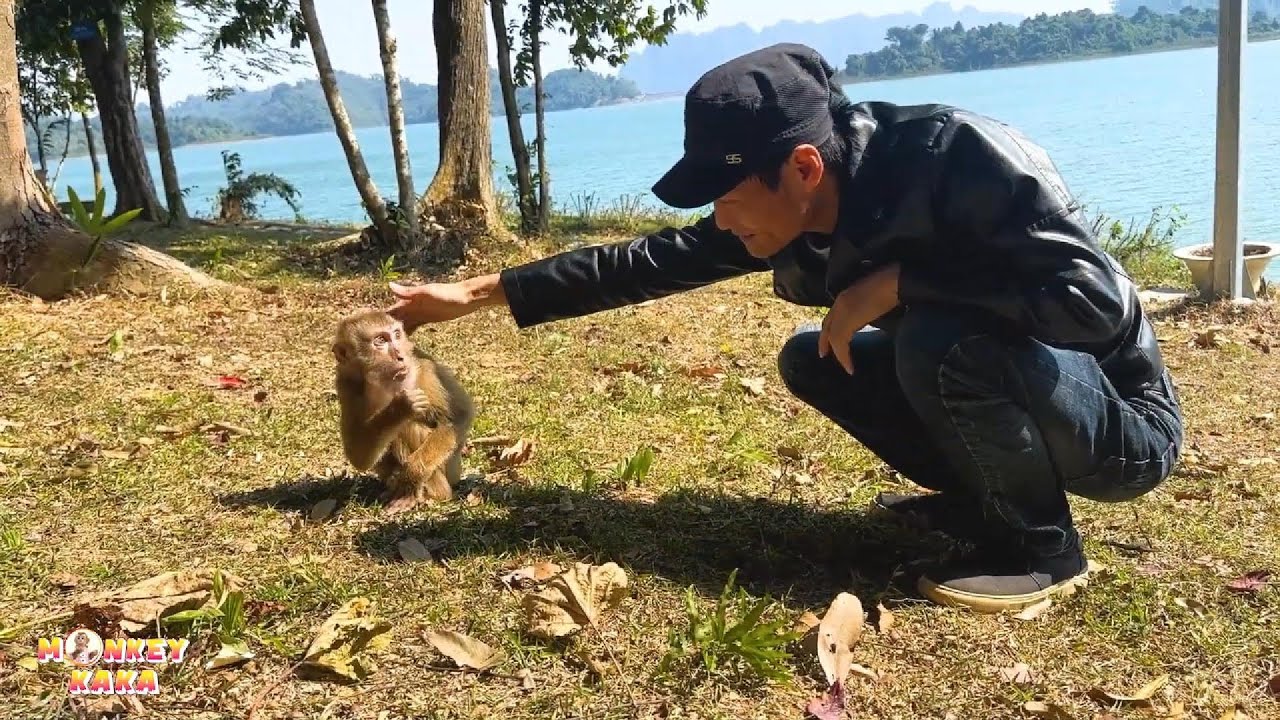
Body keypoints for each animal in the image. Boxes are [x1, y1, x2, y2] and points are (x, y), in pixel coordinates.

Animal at [332, 309, 475, 514]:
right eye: (380, 340)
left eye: (397, 335)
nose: (399, 356)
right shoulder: (346, 384)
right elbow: (357, 457)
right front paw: (400, 408)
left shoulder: (423, 369)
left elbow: (457, 418)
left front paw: (411, 479)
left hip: (451, 467)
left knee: (408, 429)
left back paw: (429, 493)